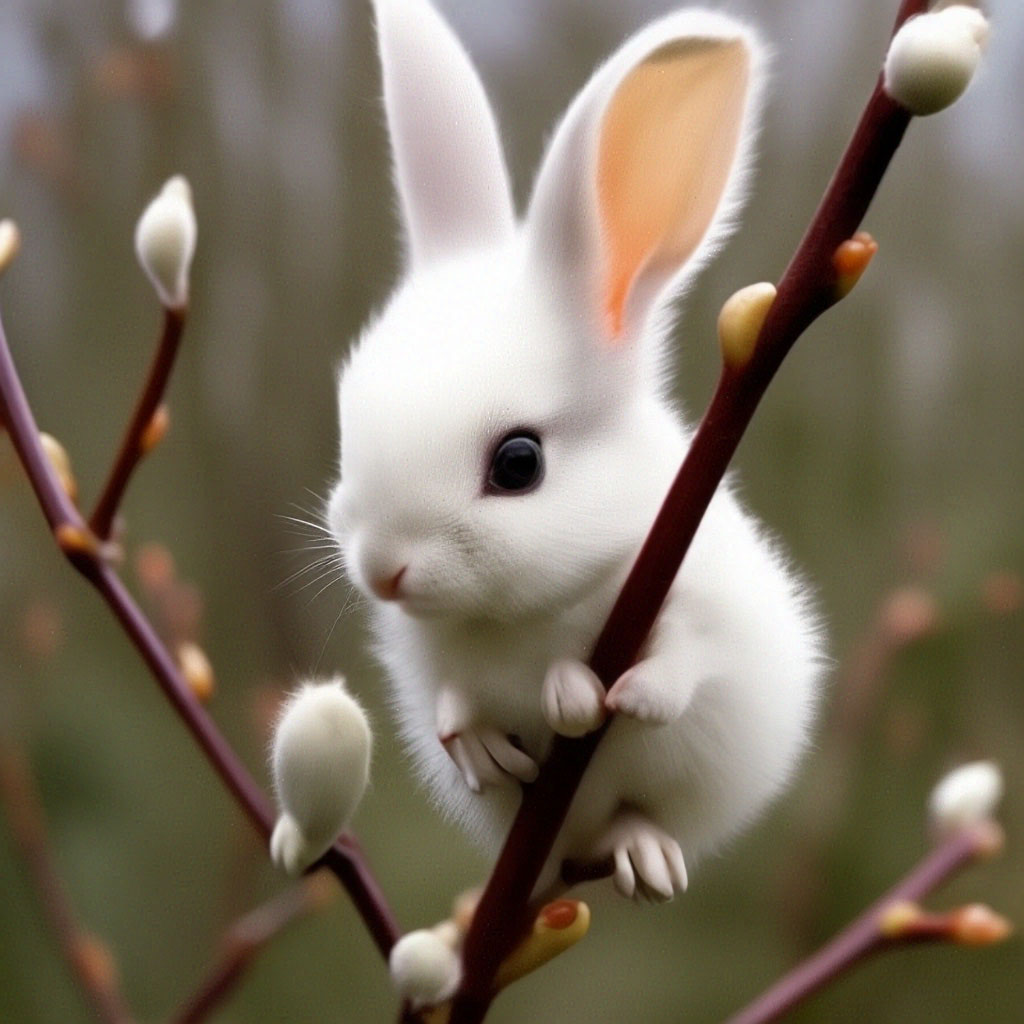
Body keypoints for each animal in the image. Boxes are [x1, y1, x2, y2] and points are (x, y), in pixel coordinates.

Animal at [325, 0, 824, 903]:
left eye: (518, 464)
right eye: (348, 425)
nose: (384, 570)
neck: (522, 615)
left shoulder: (704, 596)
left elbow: (691, 652)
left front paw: (607, 696)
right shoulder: (432, 659)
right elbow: (454, 703)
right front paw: (486, 742)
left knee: (638, 817)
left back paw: (644, 852)